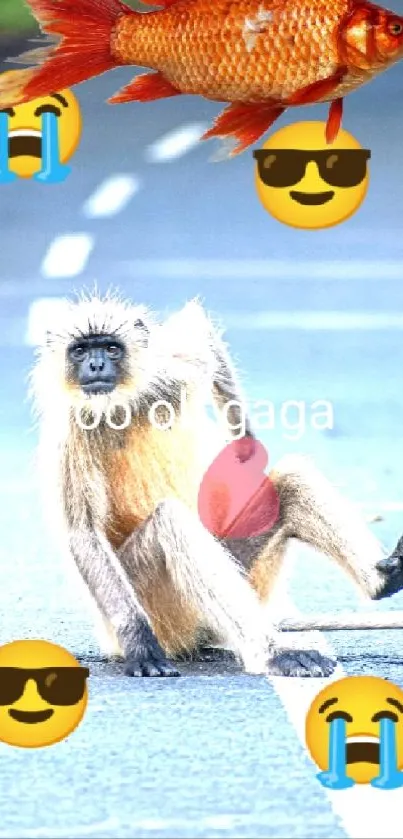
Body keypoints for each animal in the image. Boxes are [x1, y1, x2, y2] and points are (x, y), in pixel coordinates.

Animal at [30, 291, 403, 679]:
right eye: (80, 351)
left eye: (110, 348)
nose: (96, 365)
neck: (120, 408)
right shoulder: (72, 427)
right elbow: (84, 532)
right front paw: (140, 644)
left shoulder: (162, 378)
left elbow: (199, 337)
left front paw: (247, 449)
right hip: (160, 608)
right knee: (171, 523)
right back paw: (271, 652)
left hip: (244, 576)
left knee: (289, 481)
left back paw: (383, 581)